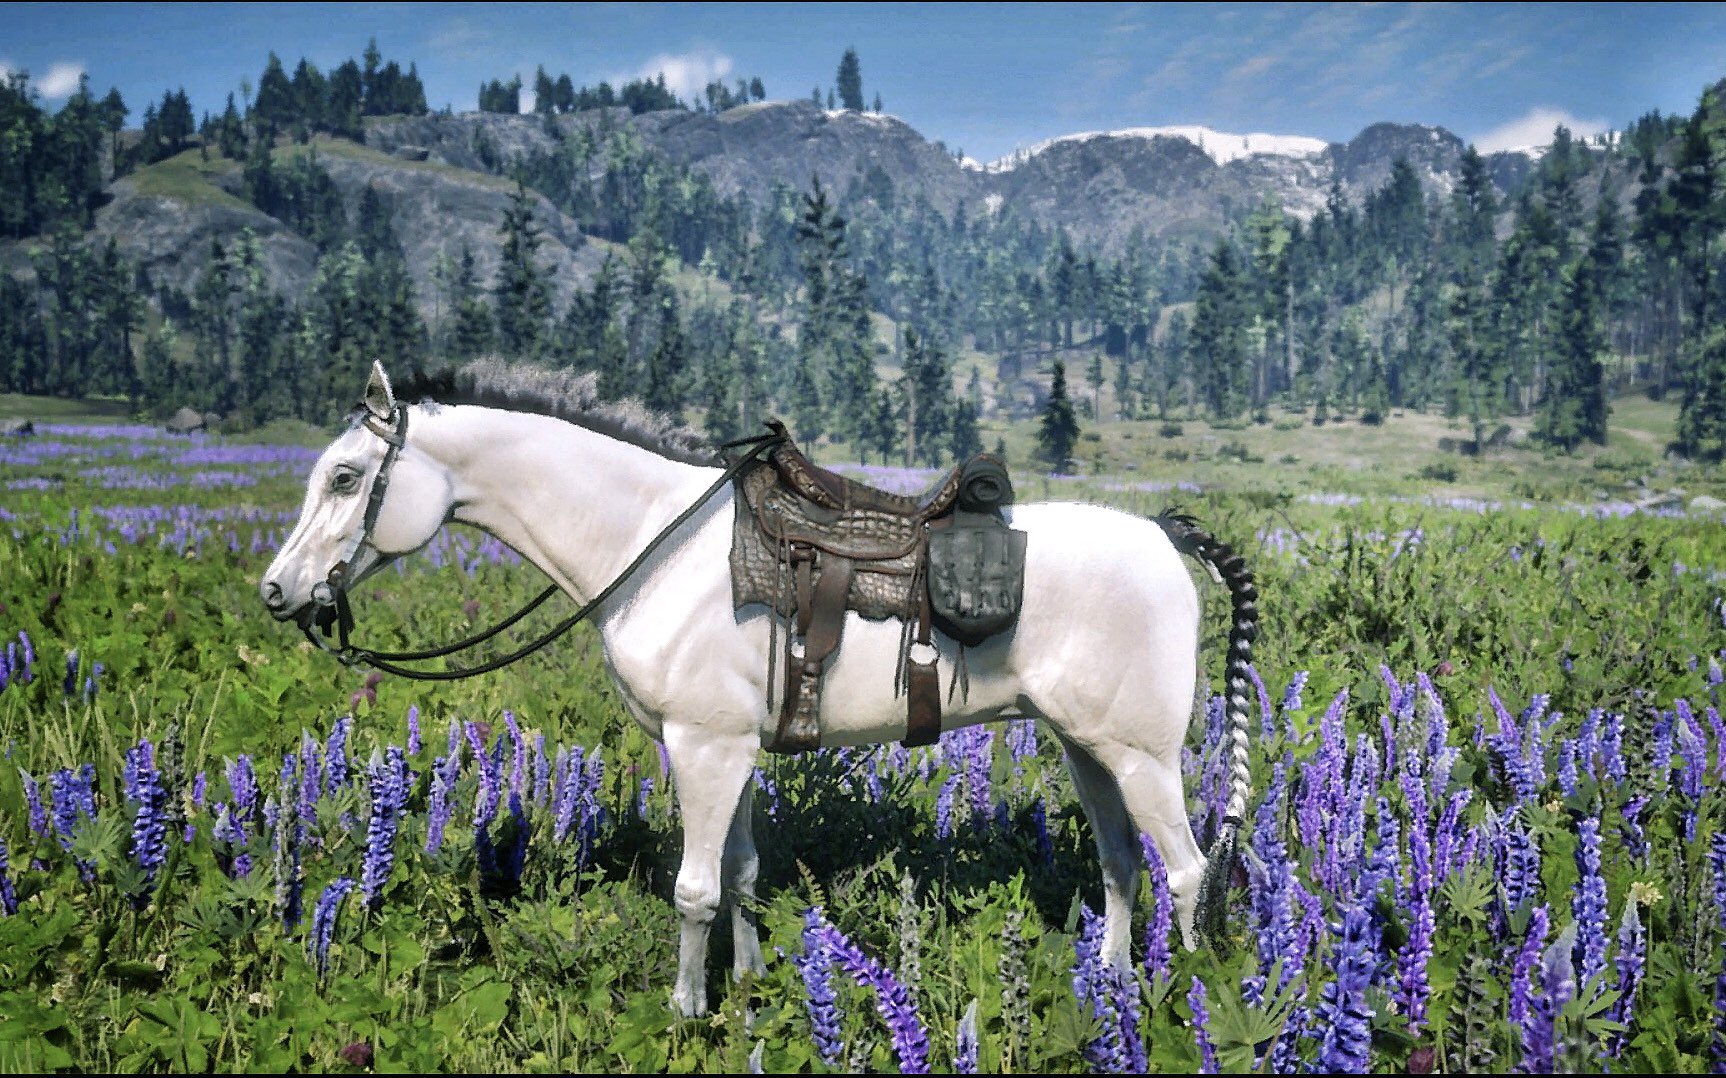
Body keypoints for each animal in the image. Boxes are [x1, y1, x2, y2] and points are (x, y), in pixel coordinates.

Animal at [260, 360, 1257, 1017]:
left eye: (345, 477)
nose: (279, 592)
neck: (654, 540)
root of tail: (1167, 537)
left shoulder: (703, 746)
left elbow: (695, 890)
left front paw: (685, 1011)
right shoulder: (726, 748)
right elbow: (740, 871)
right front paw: (743, 985)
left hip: (1142, 756)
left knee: (1185, 870)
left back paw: (1182, 1004)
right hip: (1088, 747)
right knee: (1123, 865)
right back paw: (1113, 986)